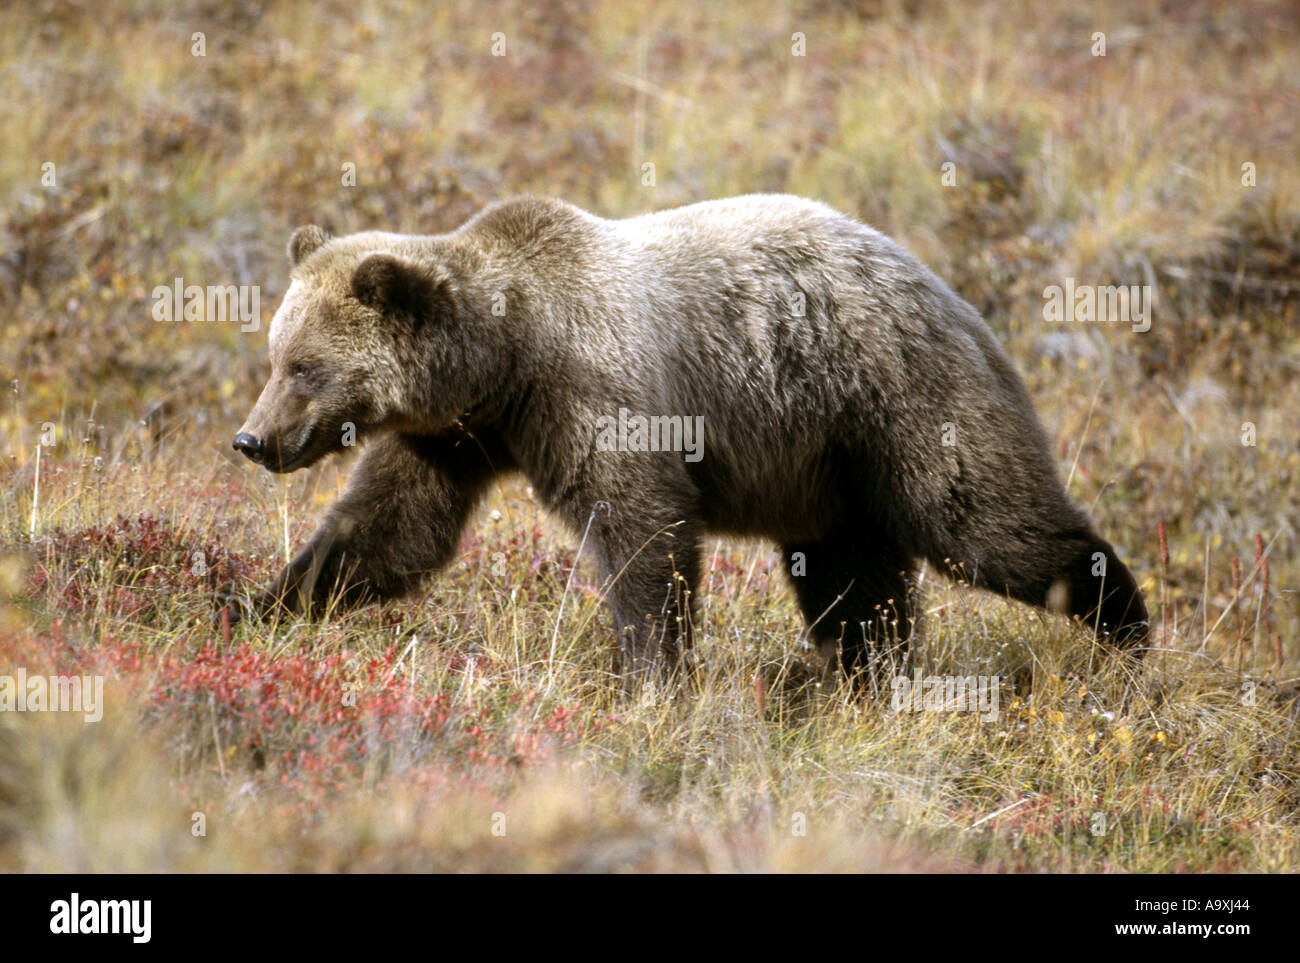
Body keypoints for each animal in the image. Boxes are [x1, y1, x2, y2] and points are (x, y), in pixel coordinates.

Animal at [227, 194, 1149, 685]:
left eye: (304, 367)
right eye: (273, 356)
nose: (252, 439)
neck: (509, 361)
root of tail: (951, 290)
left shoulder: (597, 391)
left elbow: (644, 535)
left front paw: (649, 677)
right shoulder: (455, 436)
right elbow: (390, 531)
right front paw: (259, 602)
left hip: (899, 398)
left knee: (983, 522)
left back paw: (1128, 627)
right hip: (828, 468)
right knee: (856, 583)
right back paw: (866, 679)